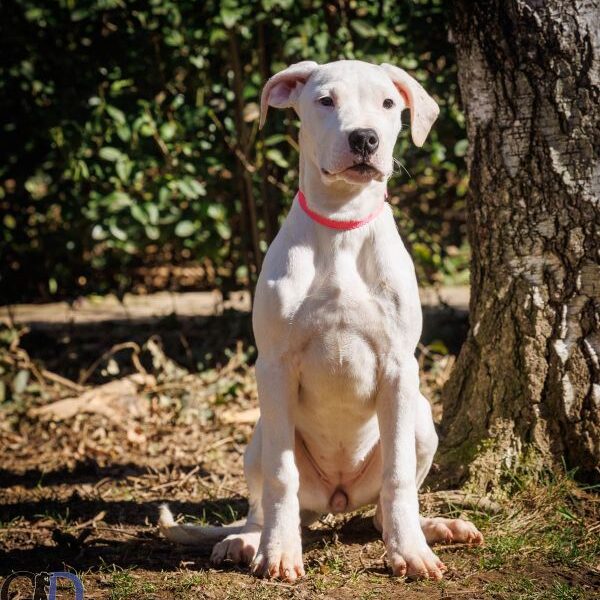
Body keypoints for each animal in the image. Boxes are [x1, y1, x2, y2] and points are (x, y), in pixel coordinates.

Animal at [159, 59, 482, 580]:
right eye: (325, 101)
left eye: (388, 103)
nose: (365, 138)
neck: (341, 224)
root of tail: (337, 498)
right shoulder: (273, 365)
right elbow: (281, 475)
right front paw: (278, 553)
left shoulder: (400, 367)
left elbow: (397, 475)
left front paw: (410, 553)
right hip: (261, 433)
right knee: (264, 502)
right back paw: (248, 540)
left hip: (421, 417)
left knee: (384, 506)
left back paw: (432, 527)